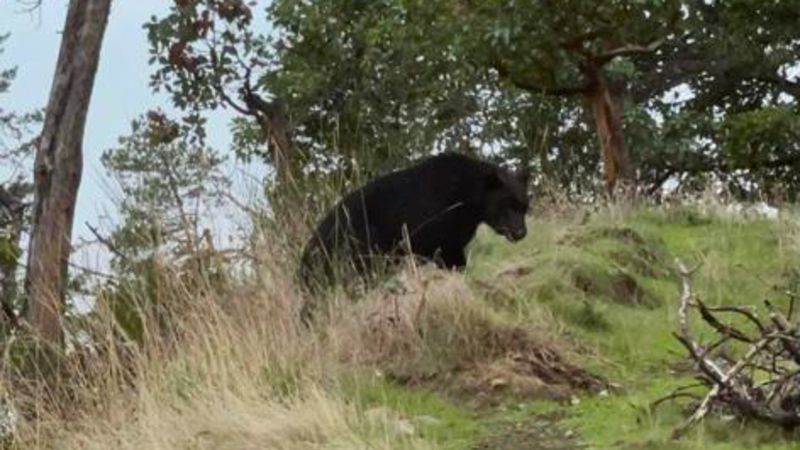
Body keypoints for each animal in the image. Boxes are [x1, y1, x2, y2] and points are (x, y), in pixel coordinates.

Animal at [298, 152, 530, 317]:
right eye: (506, 206)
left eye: (524, 206)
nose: (520, 232)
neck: (466, 197)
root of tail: (306, 252)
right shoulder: (432, 220)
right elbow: (443, 253)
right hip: (352, 248)